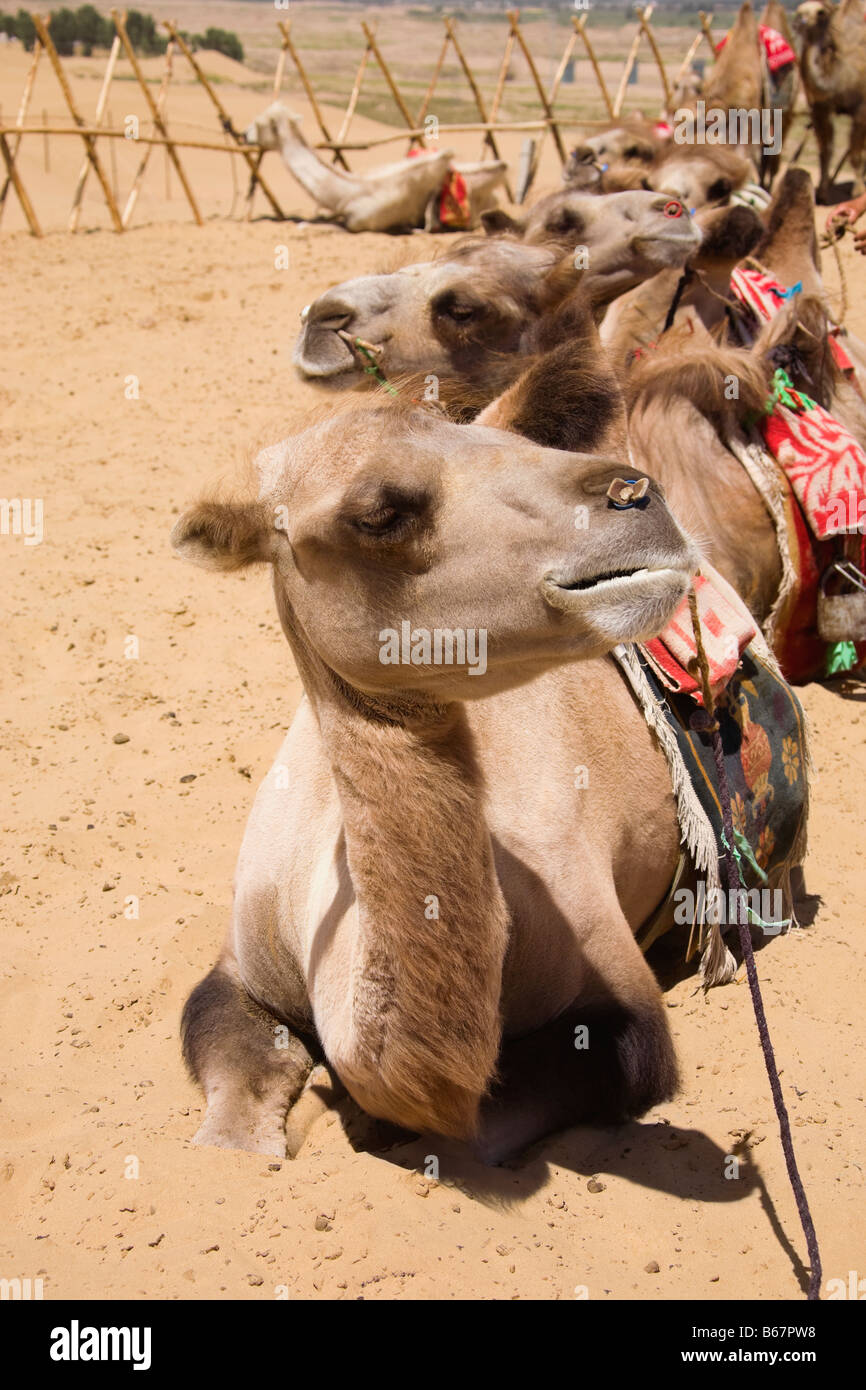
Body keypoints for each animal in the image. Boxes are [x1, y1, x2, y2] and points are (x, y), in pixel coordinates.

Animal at [173, 350, 705, 1161]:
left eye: (522, 447)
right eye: (380, 513)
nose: (632, 492)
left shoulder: (620, 1011)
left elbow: (477, 1136)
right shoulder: (239, 970)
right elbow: (233, 1110)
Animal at [794, 0, 866, 202]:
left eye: (821, 12)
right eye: (799, 10)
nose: (801, 20)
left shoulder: (861, 108)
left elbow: (855, 153)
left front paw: (858, 190)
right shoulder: (820, 108)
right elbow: (826, 150)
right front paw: (822, 192)